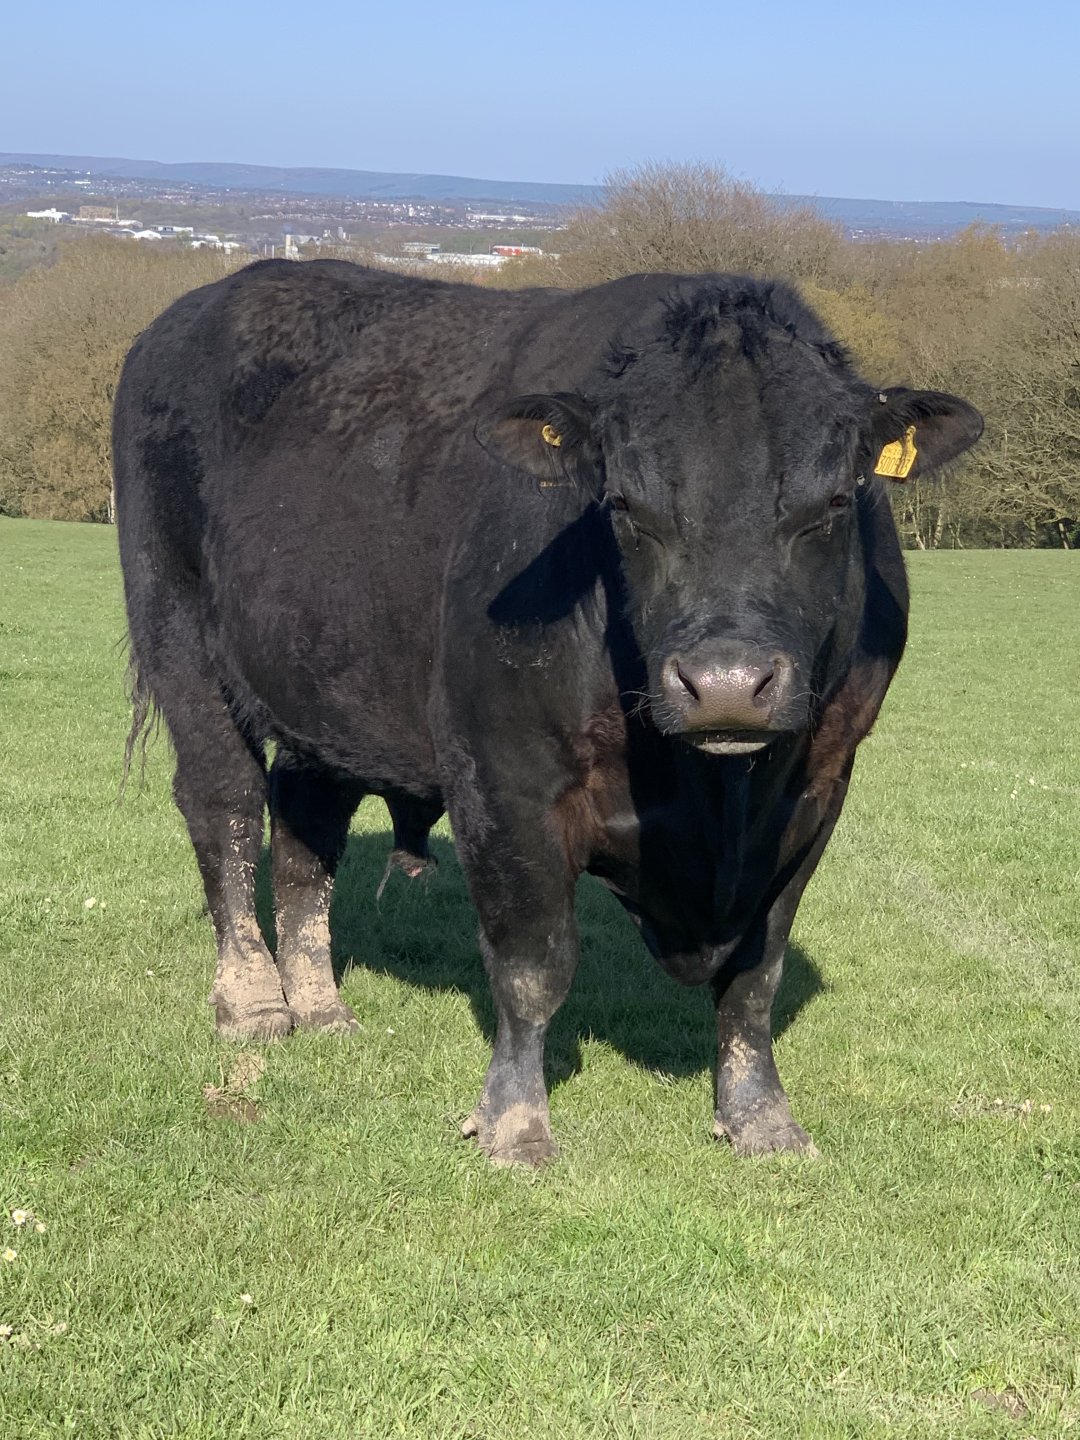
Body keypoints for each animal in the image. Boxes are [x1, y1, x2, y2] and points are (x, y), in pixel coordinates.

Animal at [113, 260, 982, 1164]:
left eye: (835, 505)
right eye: (625, 504)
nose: (727, 684)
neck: (711, 803)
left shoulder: (817, 788)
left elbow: (756, 974)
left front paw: (762, 1119)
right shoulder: (502, 775)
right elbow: (533, 963)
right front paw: (514, 1123)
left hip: (325, 684)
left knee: (304, 830)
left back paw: (320, 1005)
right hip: (180, 636)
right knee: (225, 807)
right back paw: (253, 1002)